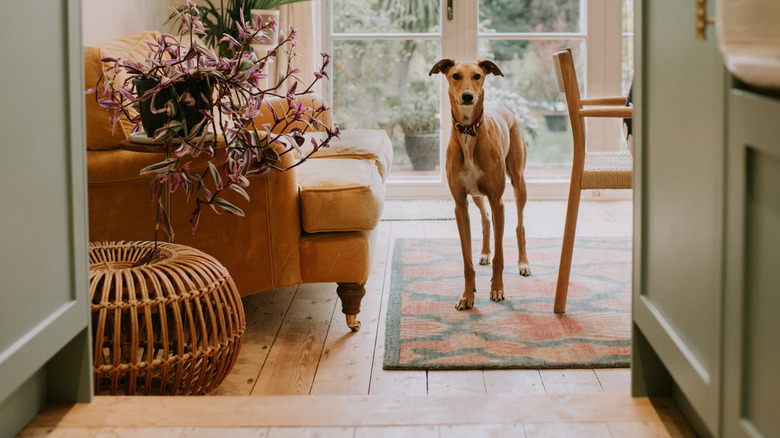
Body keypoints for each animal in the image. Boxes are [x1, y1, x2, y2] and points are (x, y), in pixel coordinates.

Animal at [430, 60, 532, 310]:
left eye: (477, 76)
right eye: (455, 75)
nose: (467, 96)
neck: (469, 132)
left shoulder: (498, 202)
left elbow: (500, 256)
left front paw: (497, 289)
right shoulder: (460, 205)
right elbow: (466, 260)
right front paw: (468, 295)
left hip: (518, 182)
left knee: (519, 226)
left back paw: (523, 263)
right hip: (476, 195)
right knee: (486, 220)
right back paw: (485, 252)